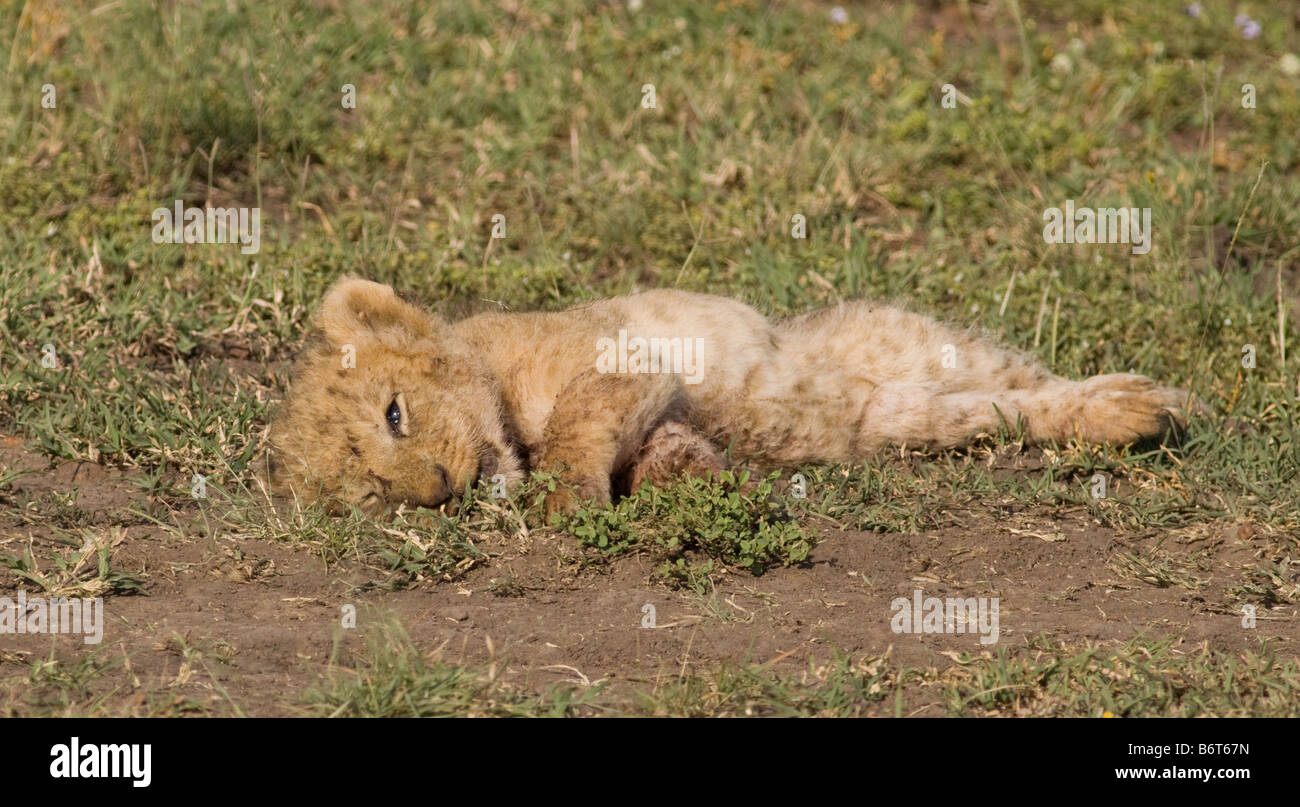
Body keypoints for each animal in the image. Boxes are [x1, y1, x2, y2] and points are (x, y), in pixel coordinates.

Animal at [267, 277, 1196, 517]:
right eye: (373, 494)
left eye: (395, 412)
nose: (433, 491)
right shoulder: (660, 417)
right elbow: (663, 455)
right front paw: (706, 484)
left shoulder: (624, 356)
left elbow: (577, 422)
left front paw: (566, 500)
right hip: (900, 419)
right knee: (990, 411)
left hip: (910, 339)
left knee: (1026, 381)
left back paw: (1151, 403)